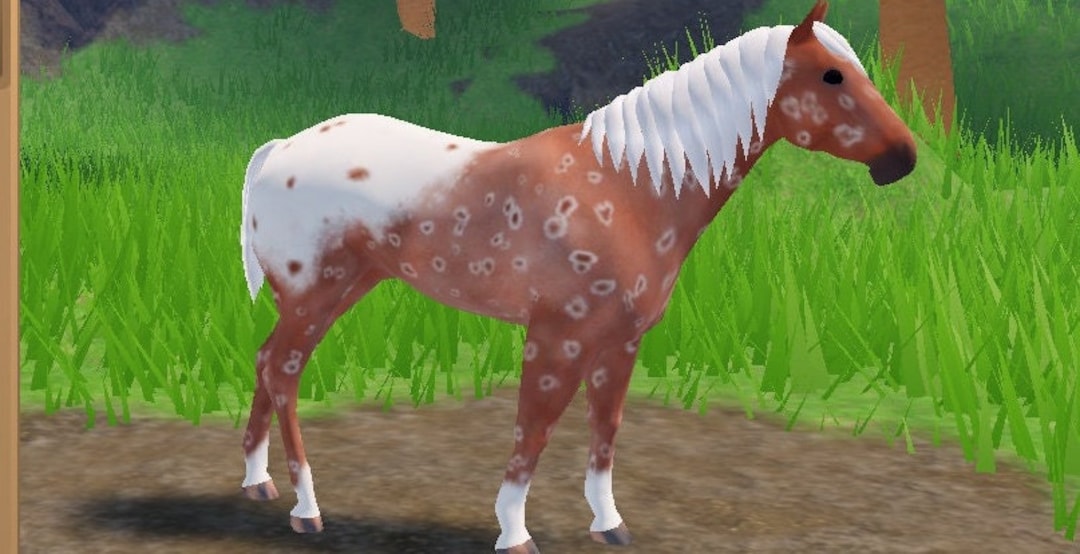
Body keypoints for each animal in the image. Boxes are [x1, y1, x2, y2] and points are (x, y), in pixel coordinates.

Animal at [237, 1, 916, 552]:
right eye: (831, 75)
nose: (904, 159)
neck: (629, 187)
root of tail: (280, 149)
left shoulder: (619, 343)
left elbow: (604, 432)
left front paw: (609, 524)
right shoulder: (556, 338)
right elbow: (534, 431)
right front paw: (514, 533)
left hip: (340, 289)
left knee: (266, 365)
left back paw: (257, 482)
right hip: (316, 293)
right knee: (284, 373)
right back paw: (306, 509)